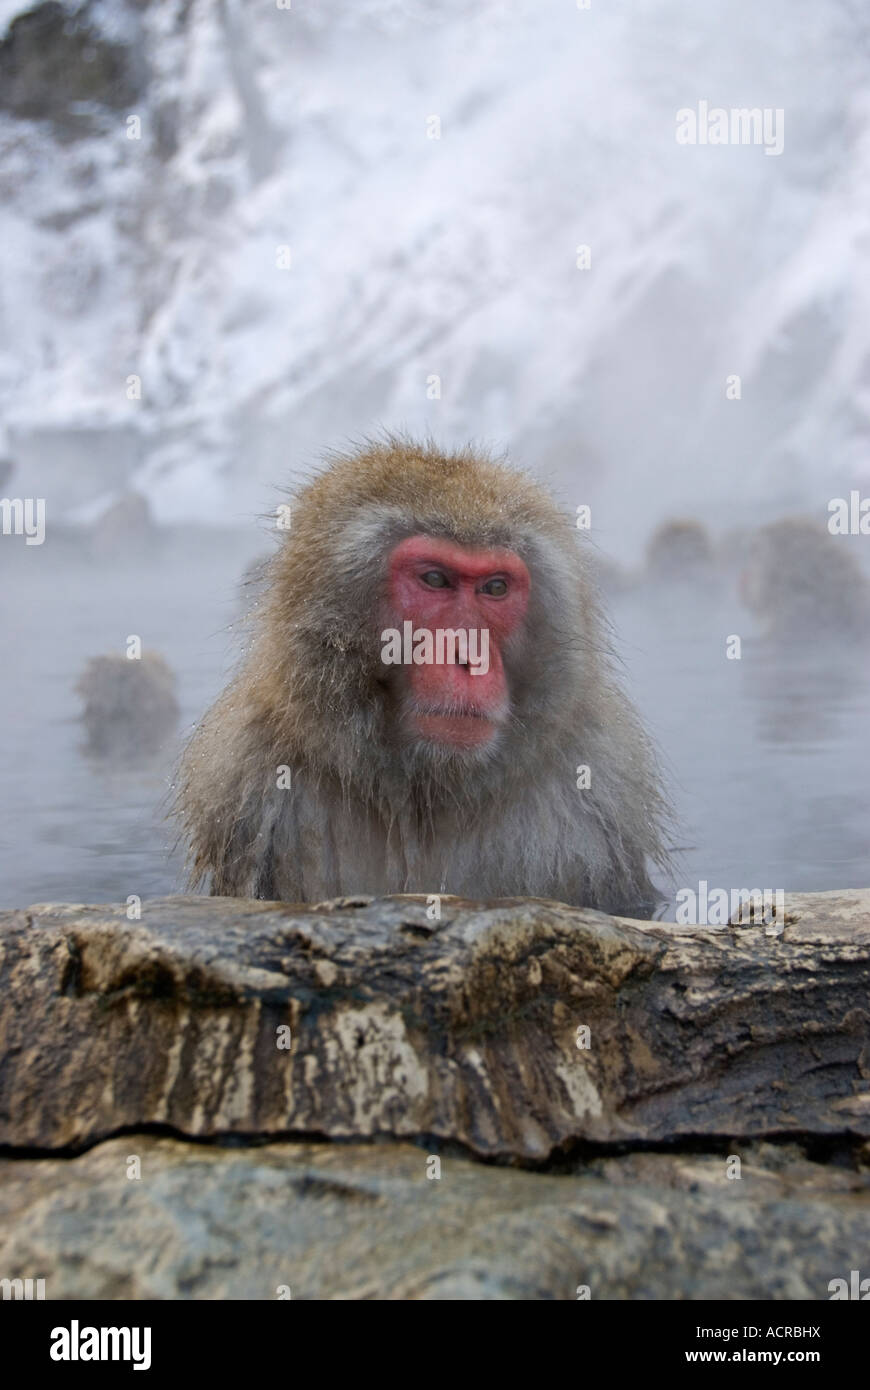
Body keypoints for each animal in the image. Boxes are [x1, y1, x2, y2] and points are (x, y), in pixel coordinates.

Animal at [176, 437, 671, 916]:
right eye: (435, 579)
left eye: (495, 587)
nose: (468, 656)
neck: (426, 795)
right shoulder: (249, 783)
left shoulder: (600, 795)